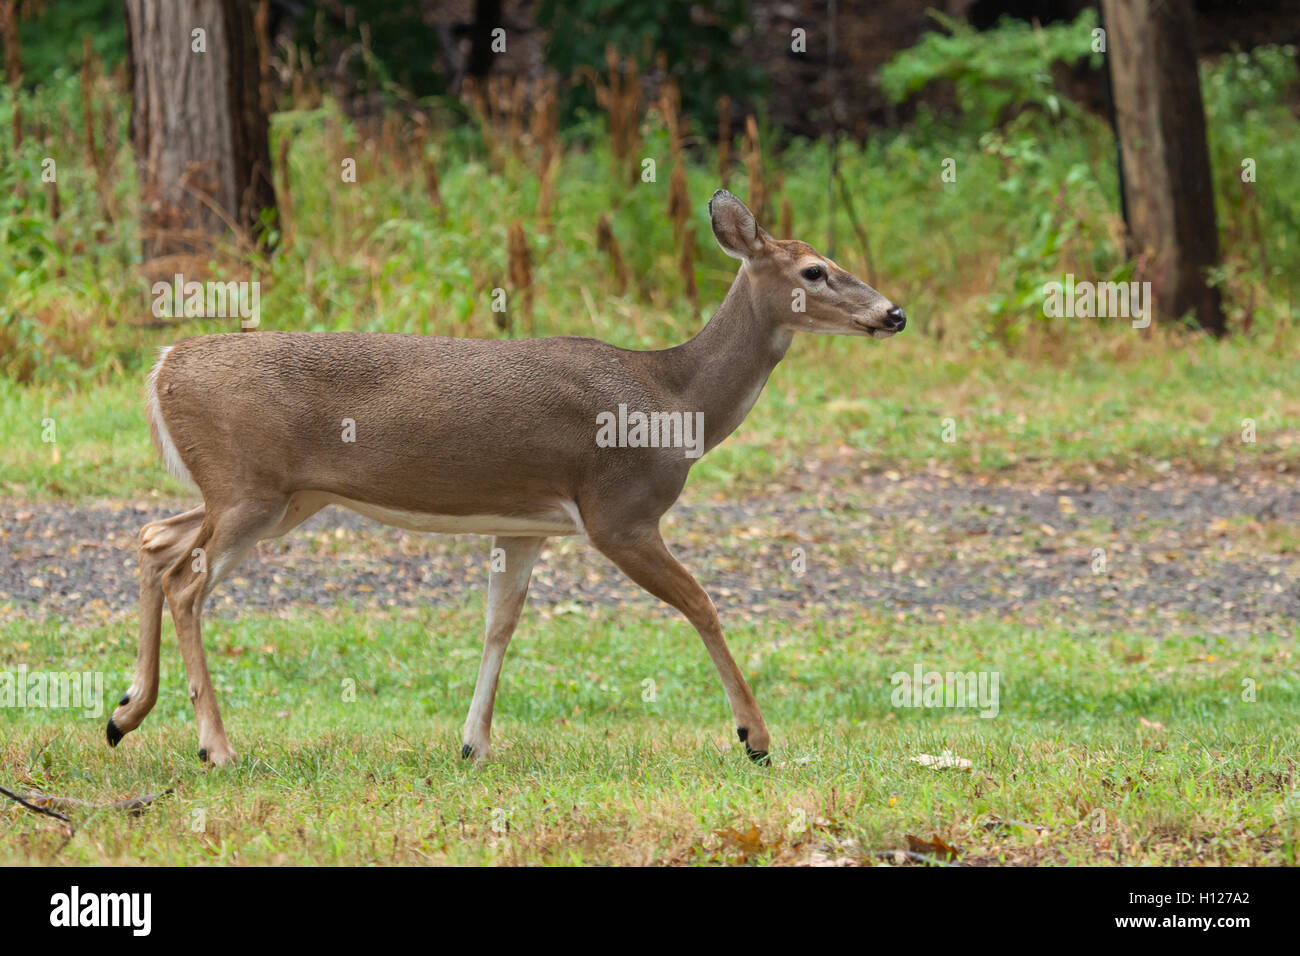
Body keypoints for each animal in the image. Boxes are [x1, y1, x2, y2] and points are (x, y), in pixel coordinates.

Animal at [106, 189, 906, 767]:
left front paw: (473, 744)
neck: (675, 401)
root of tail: (164, 363)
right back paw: (215, 746)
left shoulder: (524, 525)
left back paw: (123, 713)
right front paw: (756, 738)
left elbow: (500, 623)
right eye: (814, 271)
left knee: (154, 538)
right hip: (249, 488)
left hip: (273, 495)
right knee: (185, 583)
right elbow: (702, 603)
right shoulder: (619, 512)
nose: (893, 312)